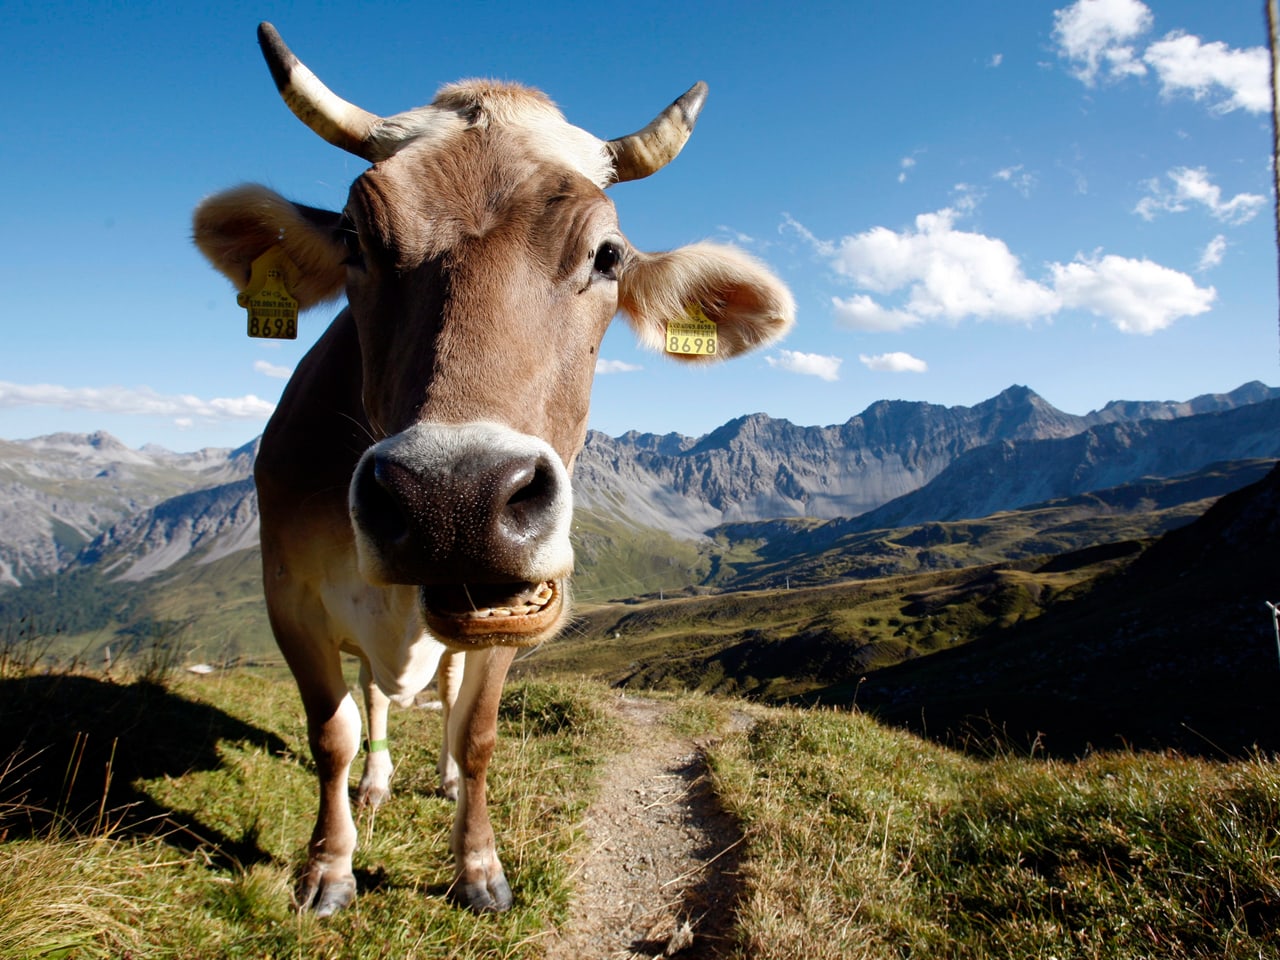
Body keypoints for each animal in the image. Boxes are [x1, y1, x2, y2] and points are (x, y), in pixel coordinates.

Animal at [193, 22, 794, 917]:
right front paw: (327, 869)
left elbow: (476, 733)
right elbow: (332, 734)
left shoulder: (506, 613)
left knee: (440, 695)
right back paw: (377, 786)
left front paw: (477, 867)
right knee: (377, 695)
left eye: (608, 255)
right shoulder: (288, 592)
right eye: (355, 239)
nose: (453, 499)